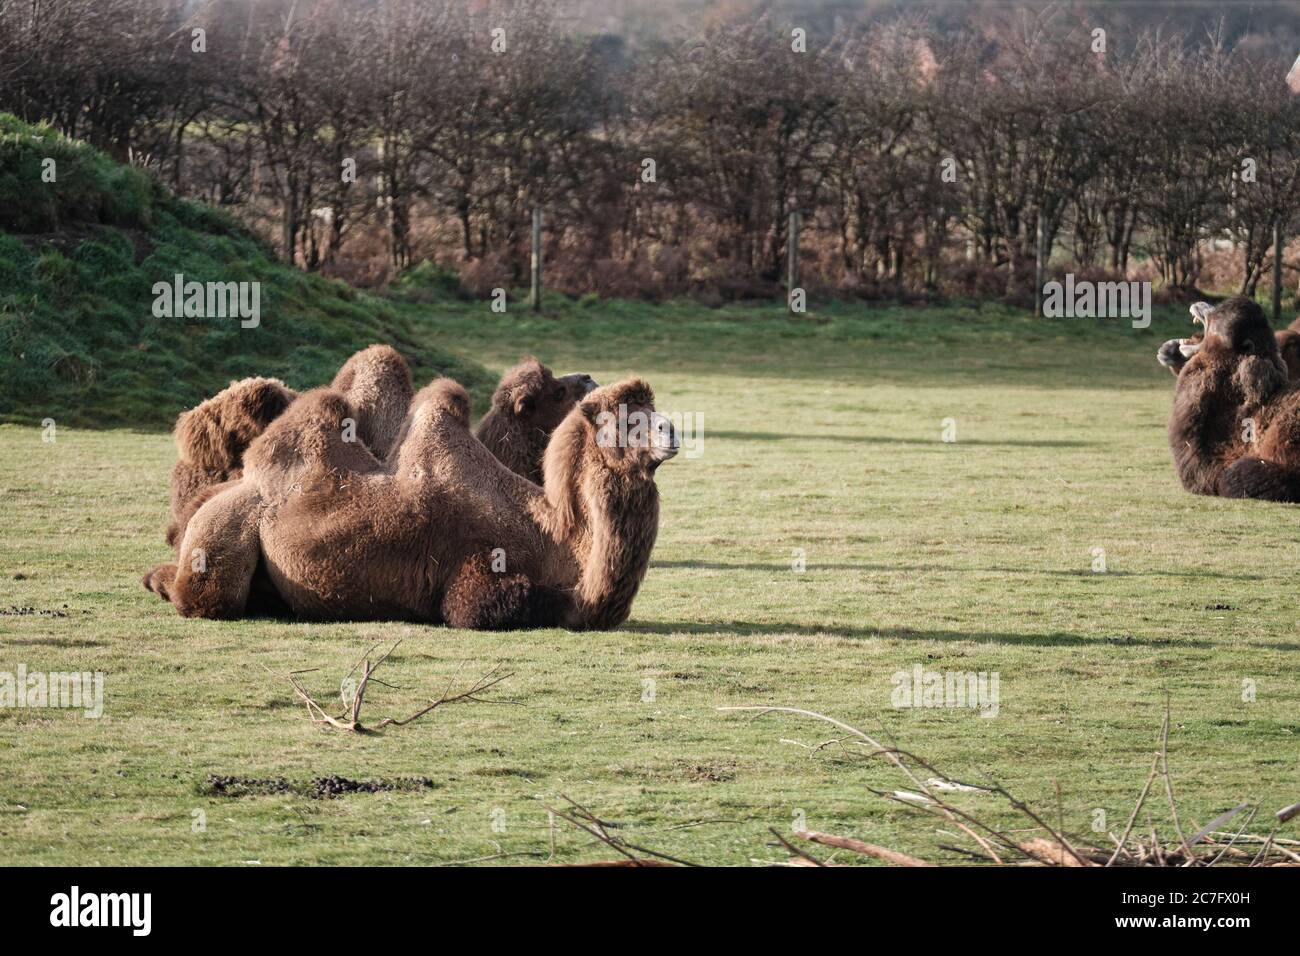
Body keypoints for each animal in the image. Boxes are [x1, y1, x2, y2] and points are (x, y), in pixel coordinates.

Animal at [149, 376, 678, 630]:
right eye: (622, 420)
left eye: (653, 412)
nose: (672, 430)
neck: (559, 541)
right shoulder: (479, 577)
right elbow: (494, 605)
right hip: (225, 530)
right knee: (206, 596)